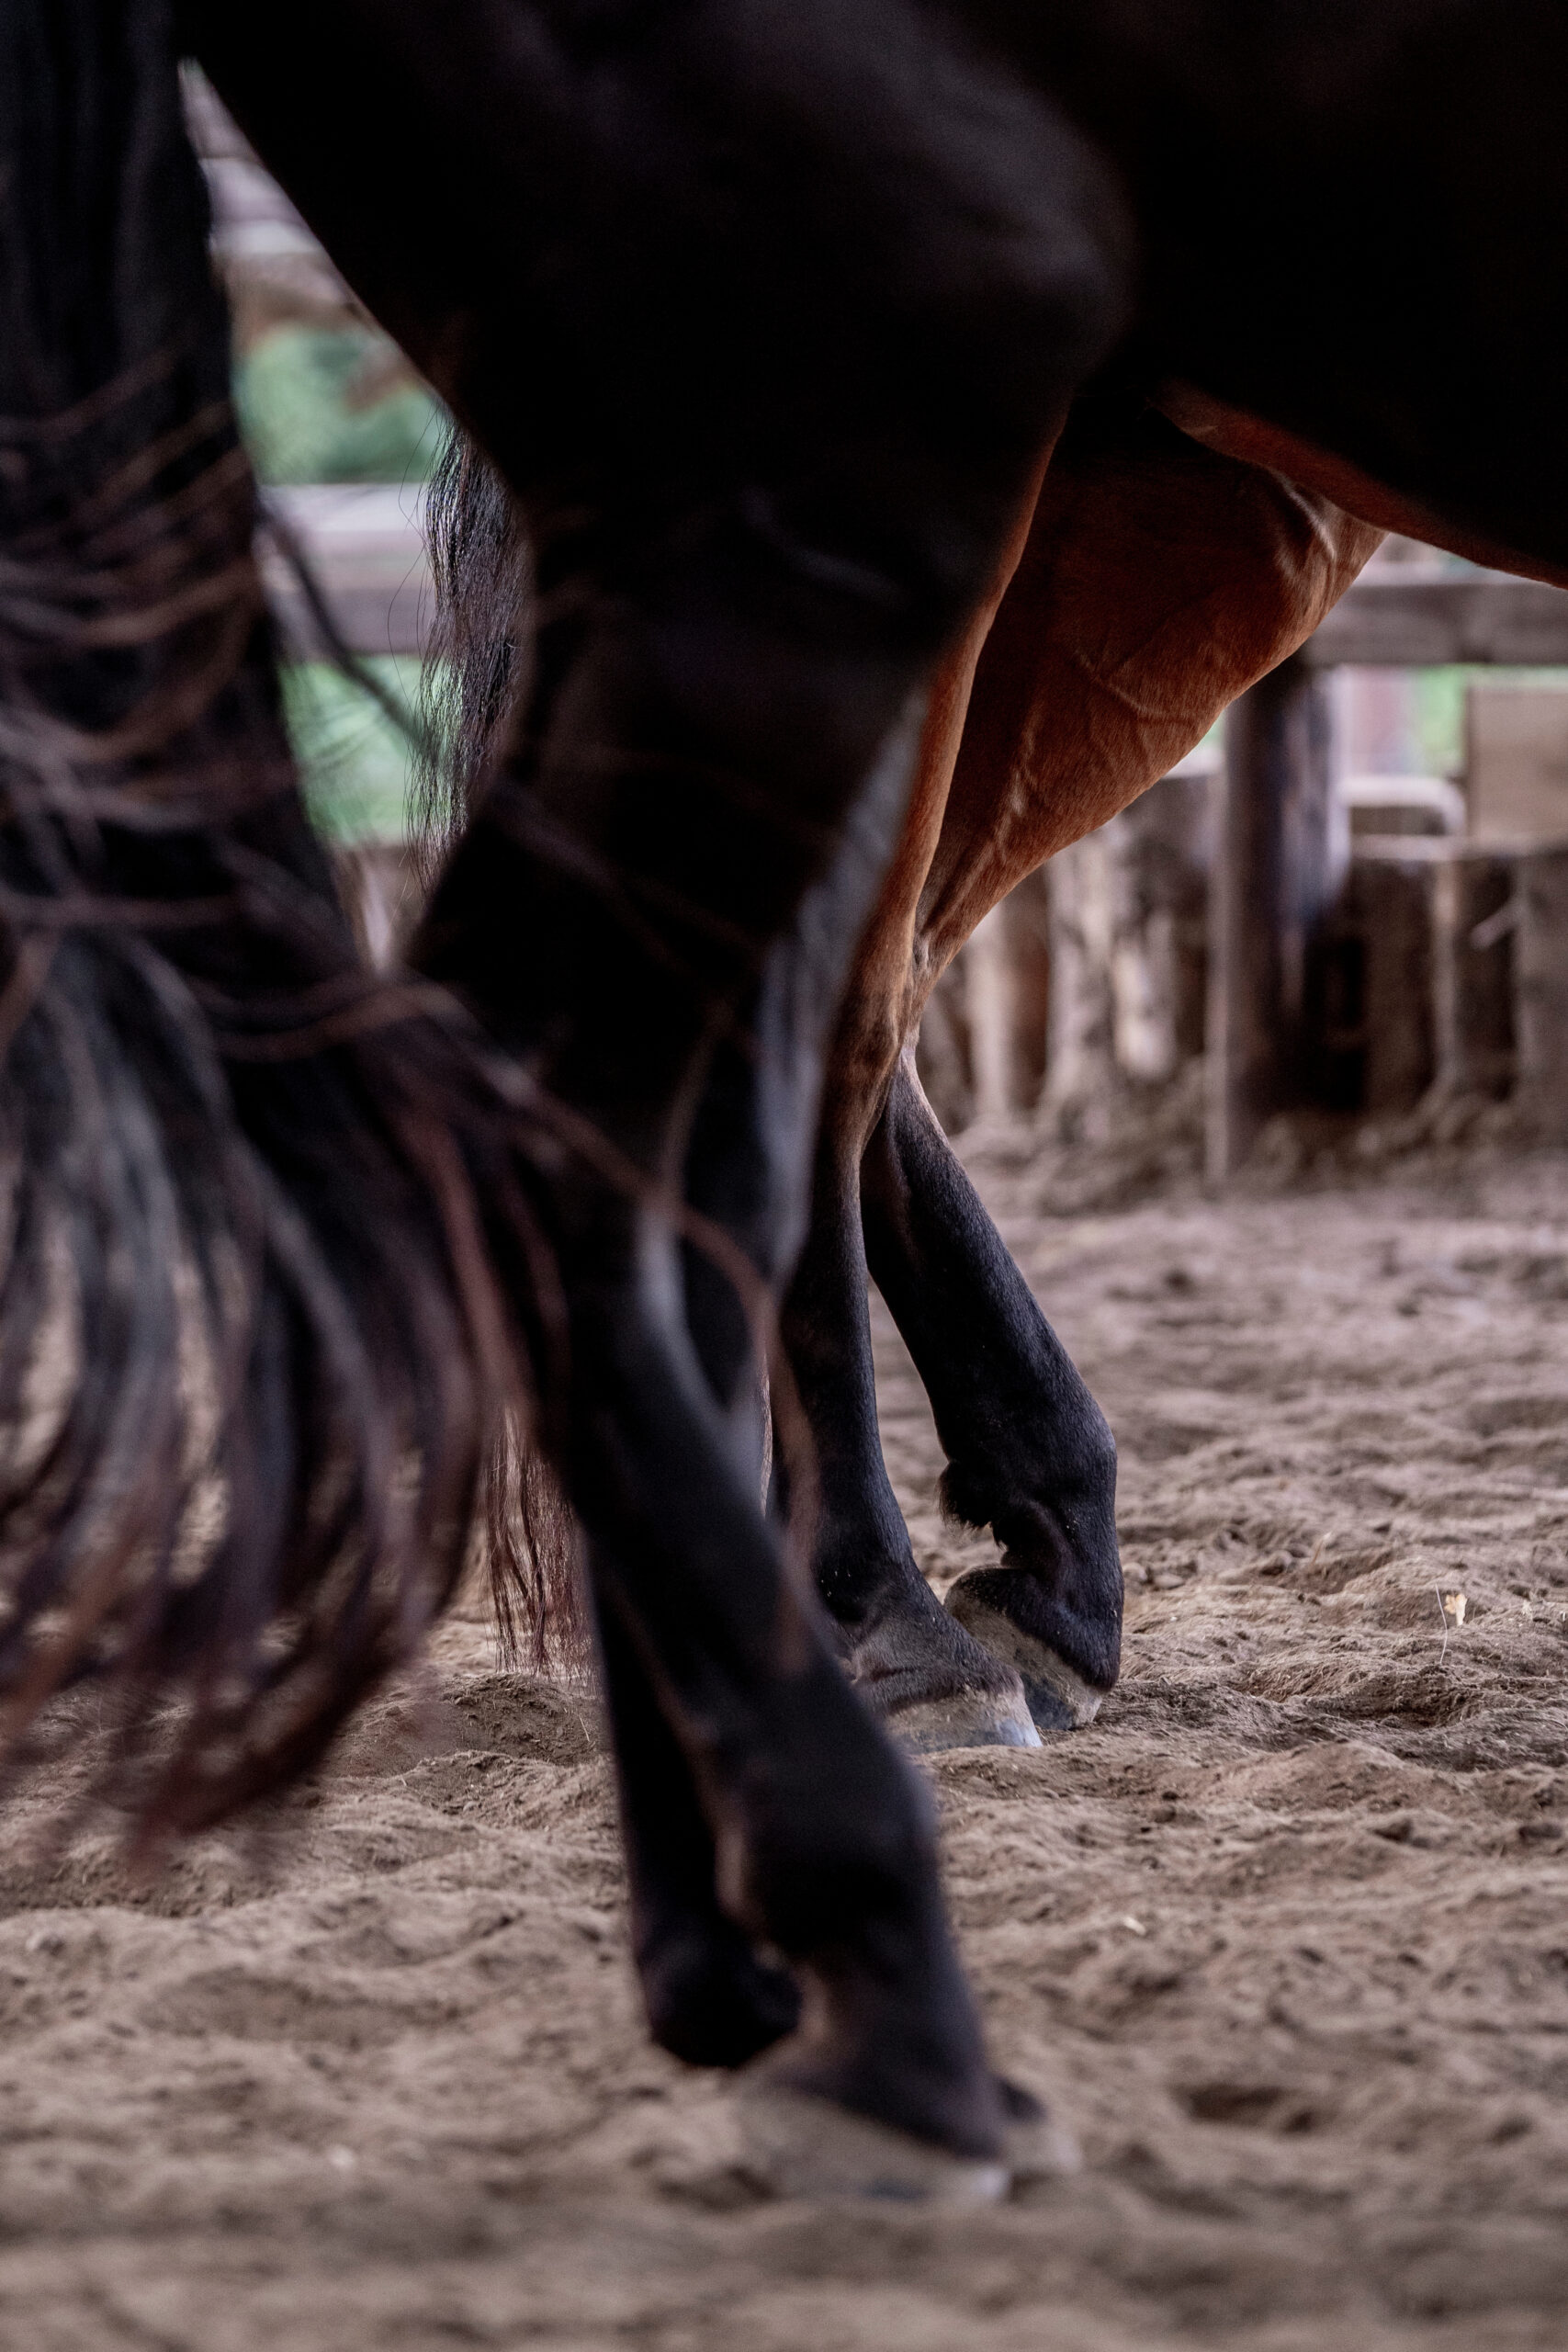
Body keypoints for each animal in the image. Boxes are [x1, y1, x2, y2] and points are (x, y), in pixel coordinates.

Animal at [6, 0, 1568, 2200]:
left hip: (1108, 495)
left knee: (800, 1047)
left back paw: (815, 1825)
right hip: (853, 437)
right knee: (674, 1076)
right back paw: (876, 1854)